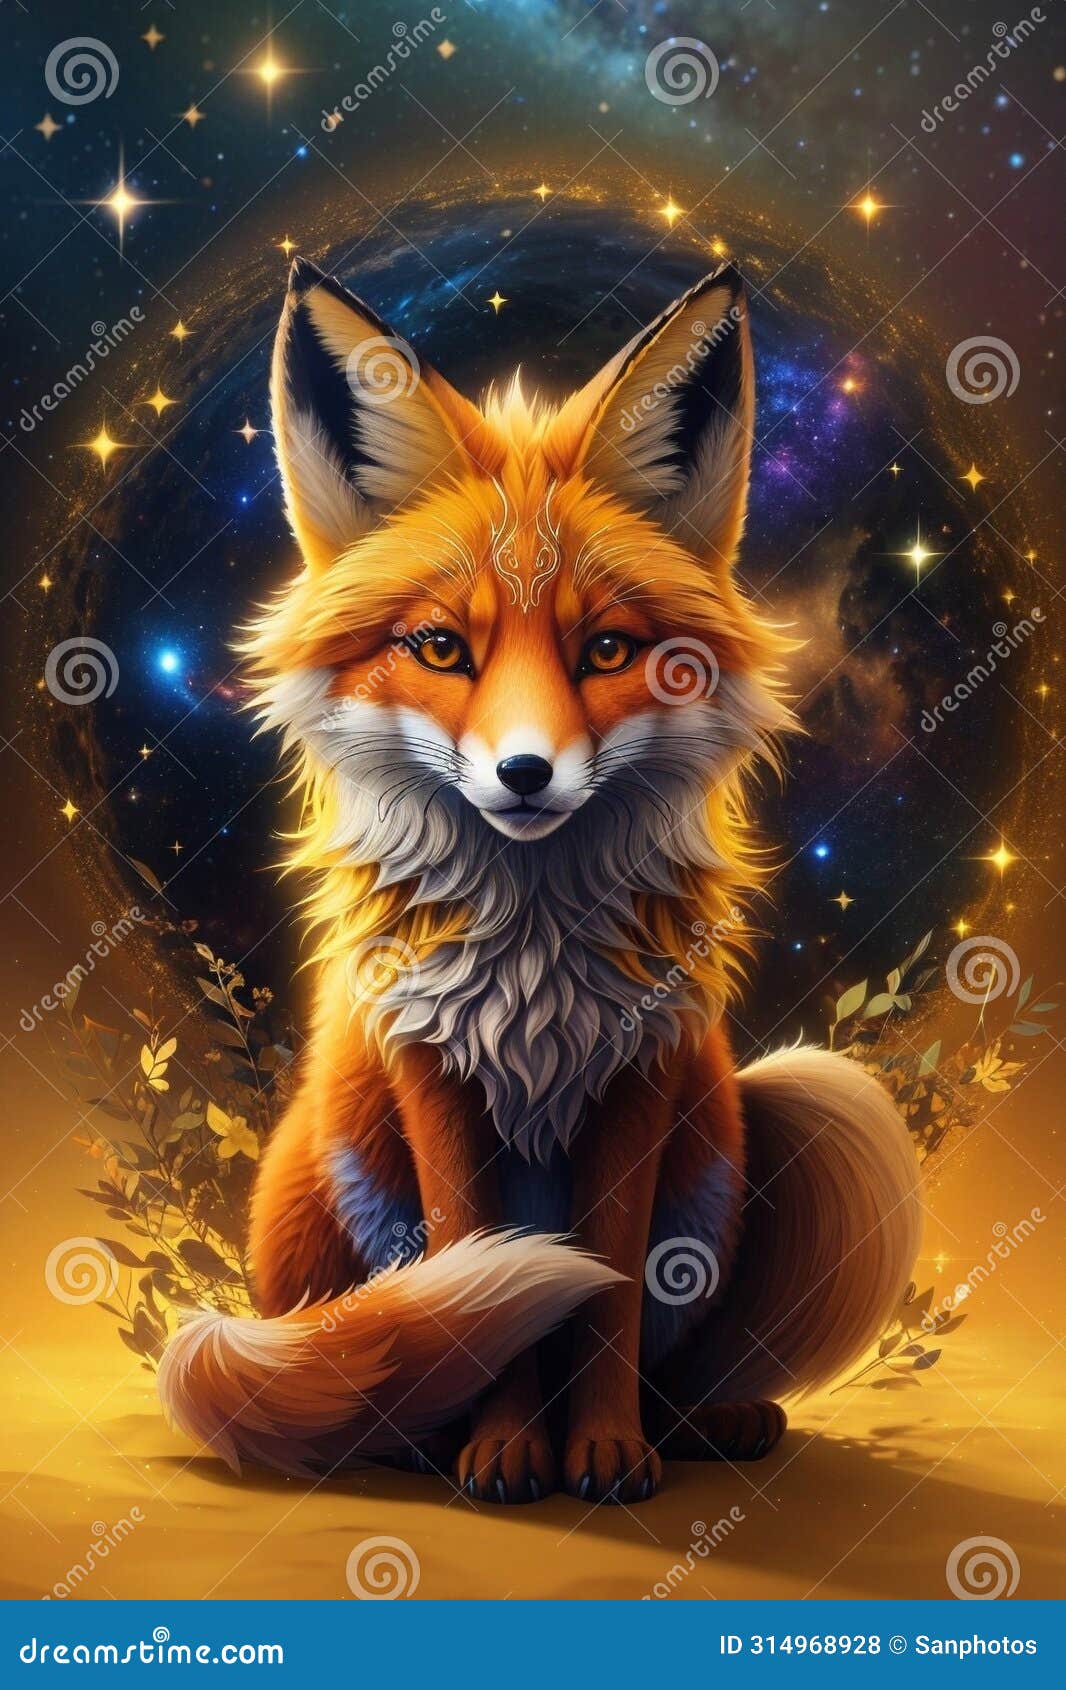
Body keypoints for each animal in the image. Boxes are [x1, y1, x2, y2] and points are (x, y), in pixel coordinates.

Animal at [157, 256, 921, 1504]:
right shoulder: (431, 1067)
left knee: (677, 1360)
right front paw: (509, 1451)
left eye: (604, 650)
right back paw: (419, 1438)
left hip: (810, 1098)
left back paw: (697, 1420)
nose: (525, 772)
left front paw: (602, 1449)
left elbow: (606, 1288)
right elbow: (489, 1272)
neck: (533, 969)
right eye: (439, 647)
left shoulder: (642, 1068)